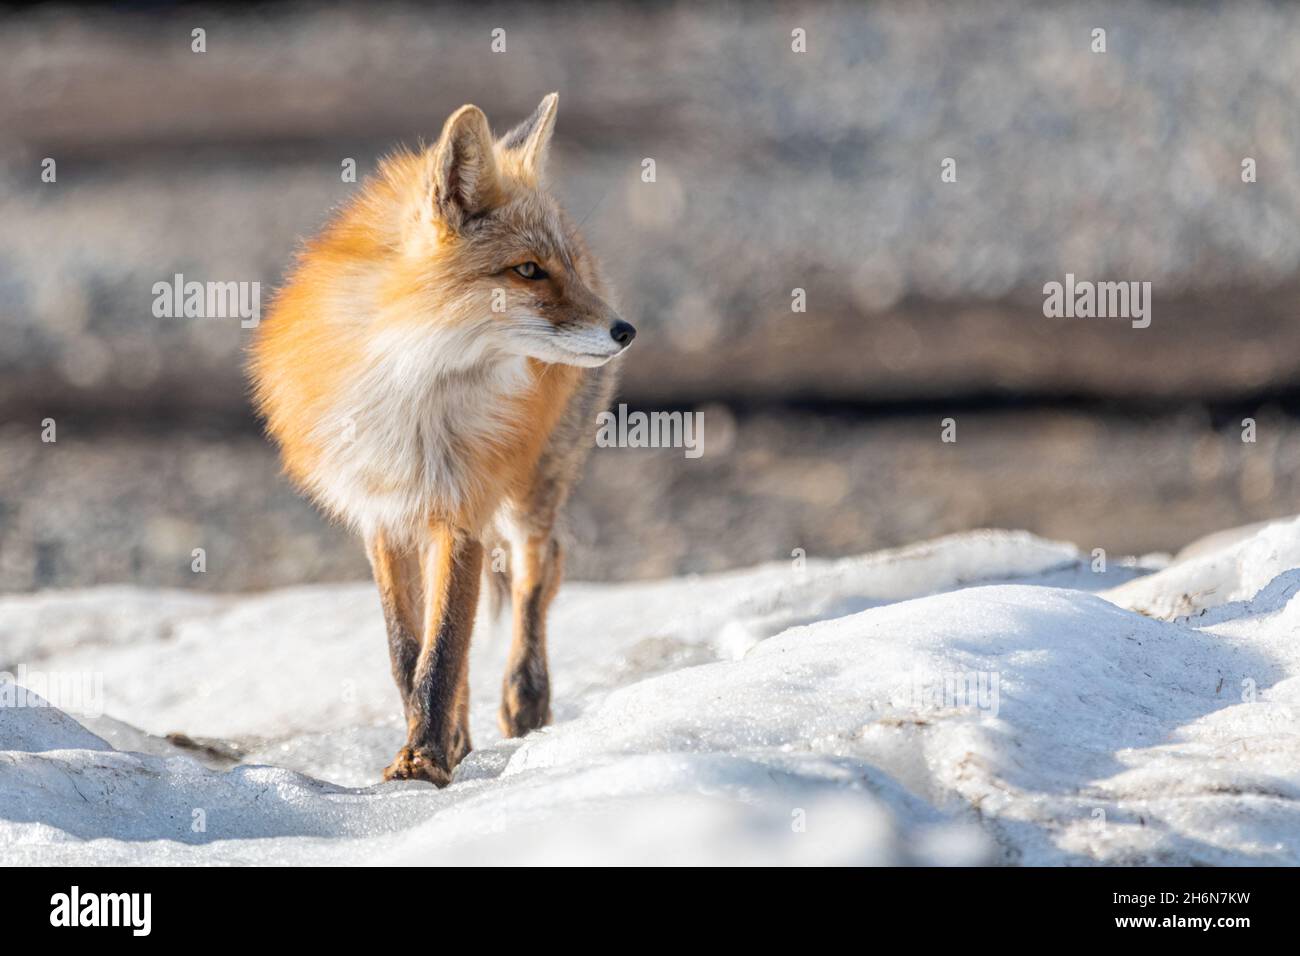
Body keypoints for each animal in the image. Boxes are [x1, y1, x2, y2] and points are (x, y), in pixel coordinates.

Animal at [249, 94, 634, 786]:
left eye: (563, 266)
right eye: (529, 270)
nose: (625, 330)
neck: (408, 387)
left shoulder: (459, 511)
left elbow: (444, 650)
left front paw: (424, 760)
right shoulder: (381, 517)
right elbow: (410, 654)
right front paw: (437, 746)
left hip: (531, 494)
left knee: (539, 573)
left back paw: (526, 703)